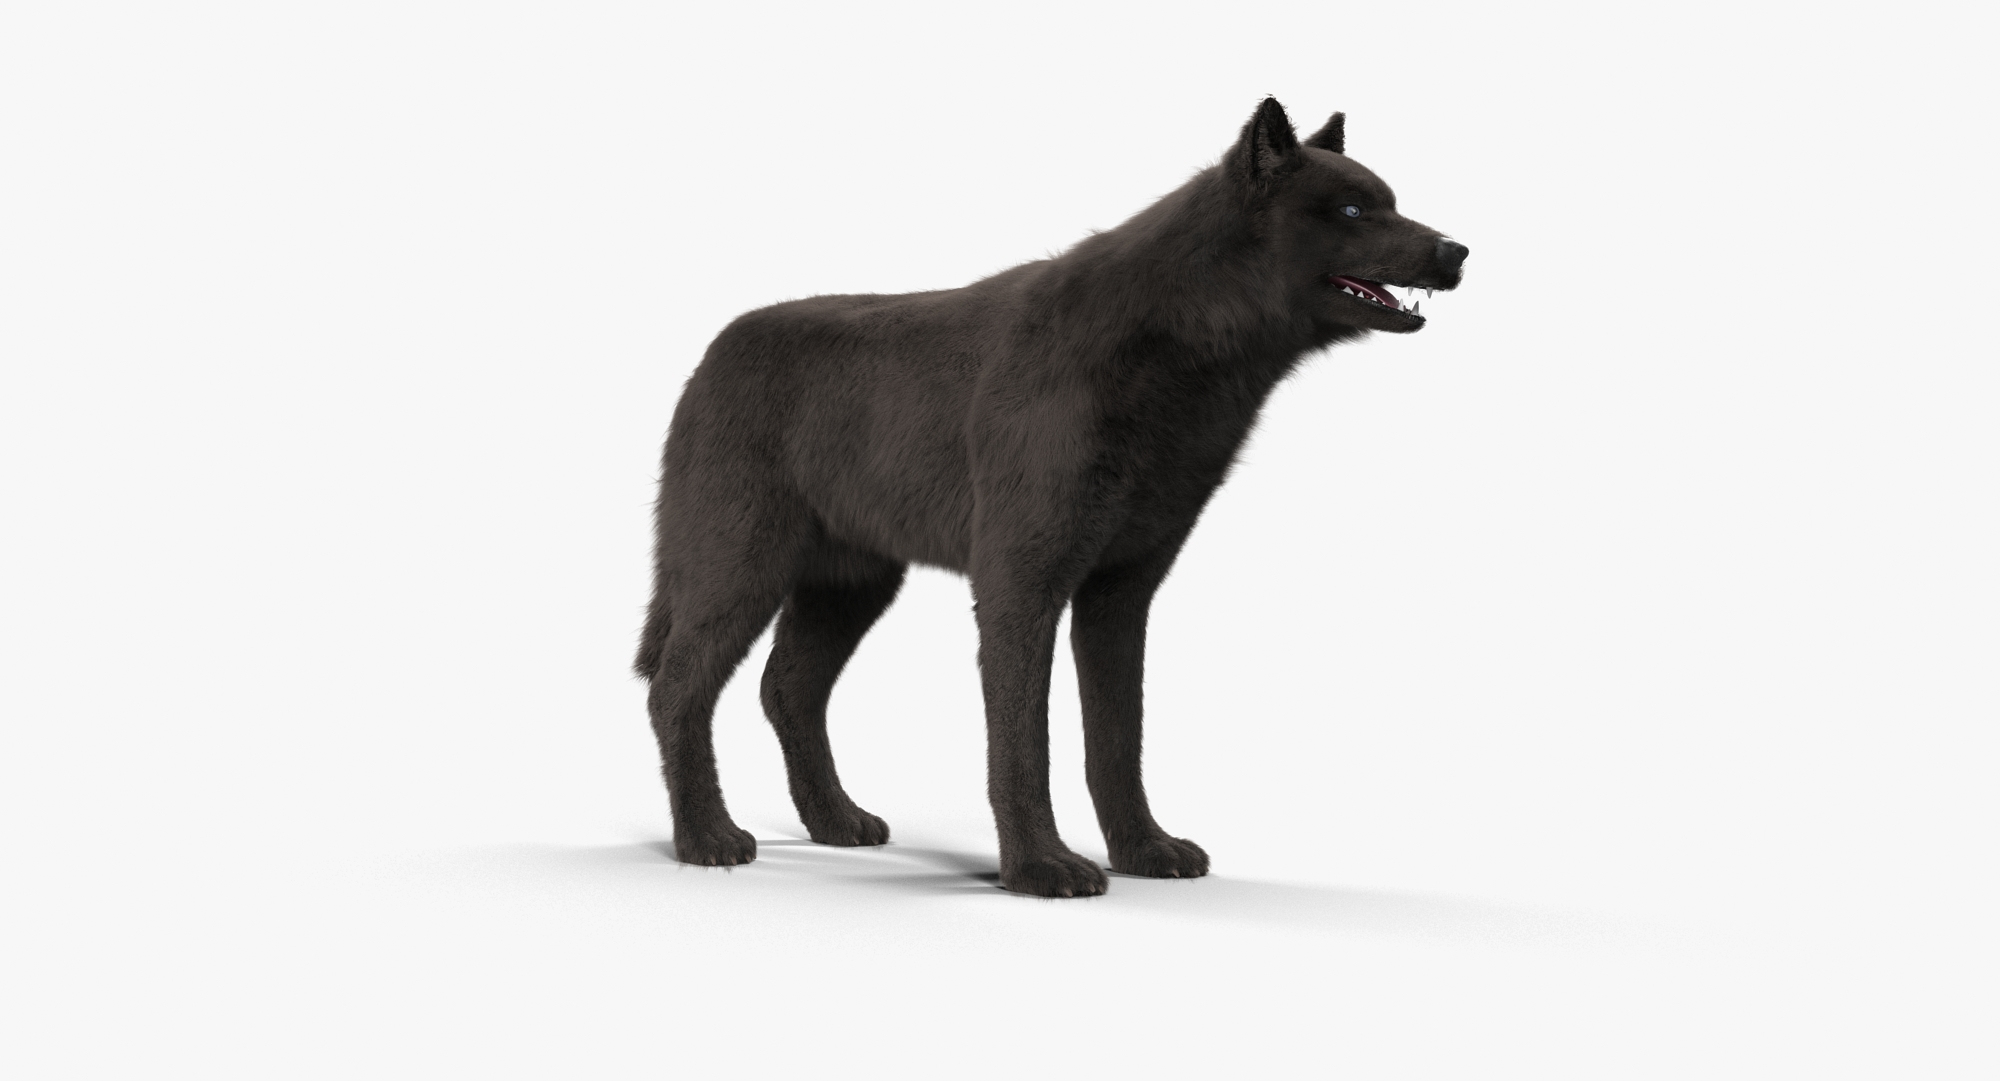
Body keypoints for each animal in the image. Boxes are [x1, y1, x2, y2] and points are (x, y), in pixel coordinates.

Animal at [635, 97, 1468, 897]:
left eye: (1392, 203)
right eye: (1354, 210)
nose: (1458, 251)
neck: (1177, 350)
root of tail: (712, 353)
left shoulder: (1120, 591)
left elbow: (1117, 737)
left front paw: (1144, 851)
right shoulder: (1020, 583)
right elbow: (1023, 743)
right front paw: (1041, 868)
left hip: (853, 584)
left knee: (787, 688)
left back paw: (837, 822)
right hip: (740, 570)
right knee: (677, 687)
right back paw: (708, 839)